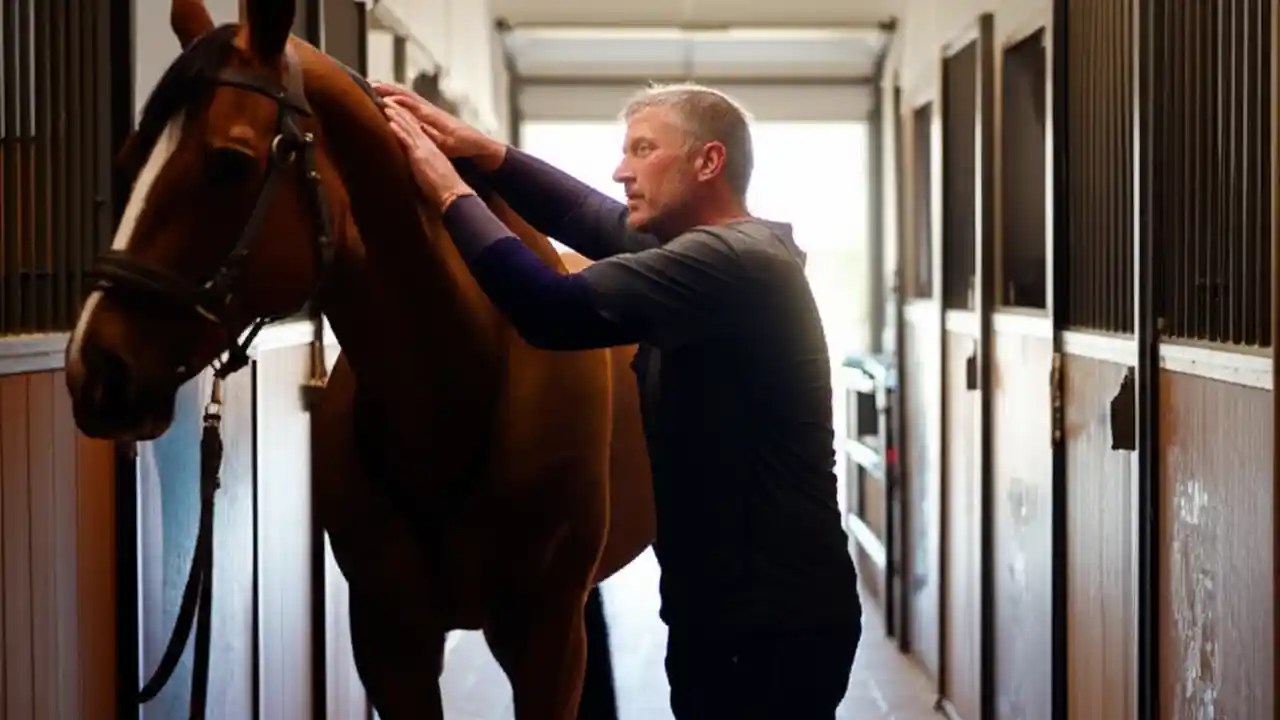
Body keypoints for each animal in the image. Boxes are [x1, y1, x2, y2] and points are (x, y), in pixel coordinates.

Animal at [62, 0, 656, 717]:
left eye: (229, 161)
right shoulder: (389, 644)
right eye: (130, 159)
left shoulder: (546, 641)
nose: (94, 367)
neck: (466, 385)